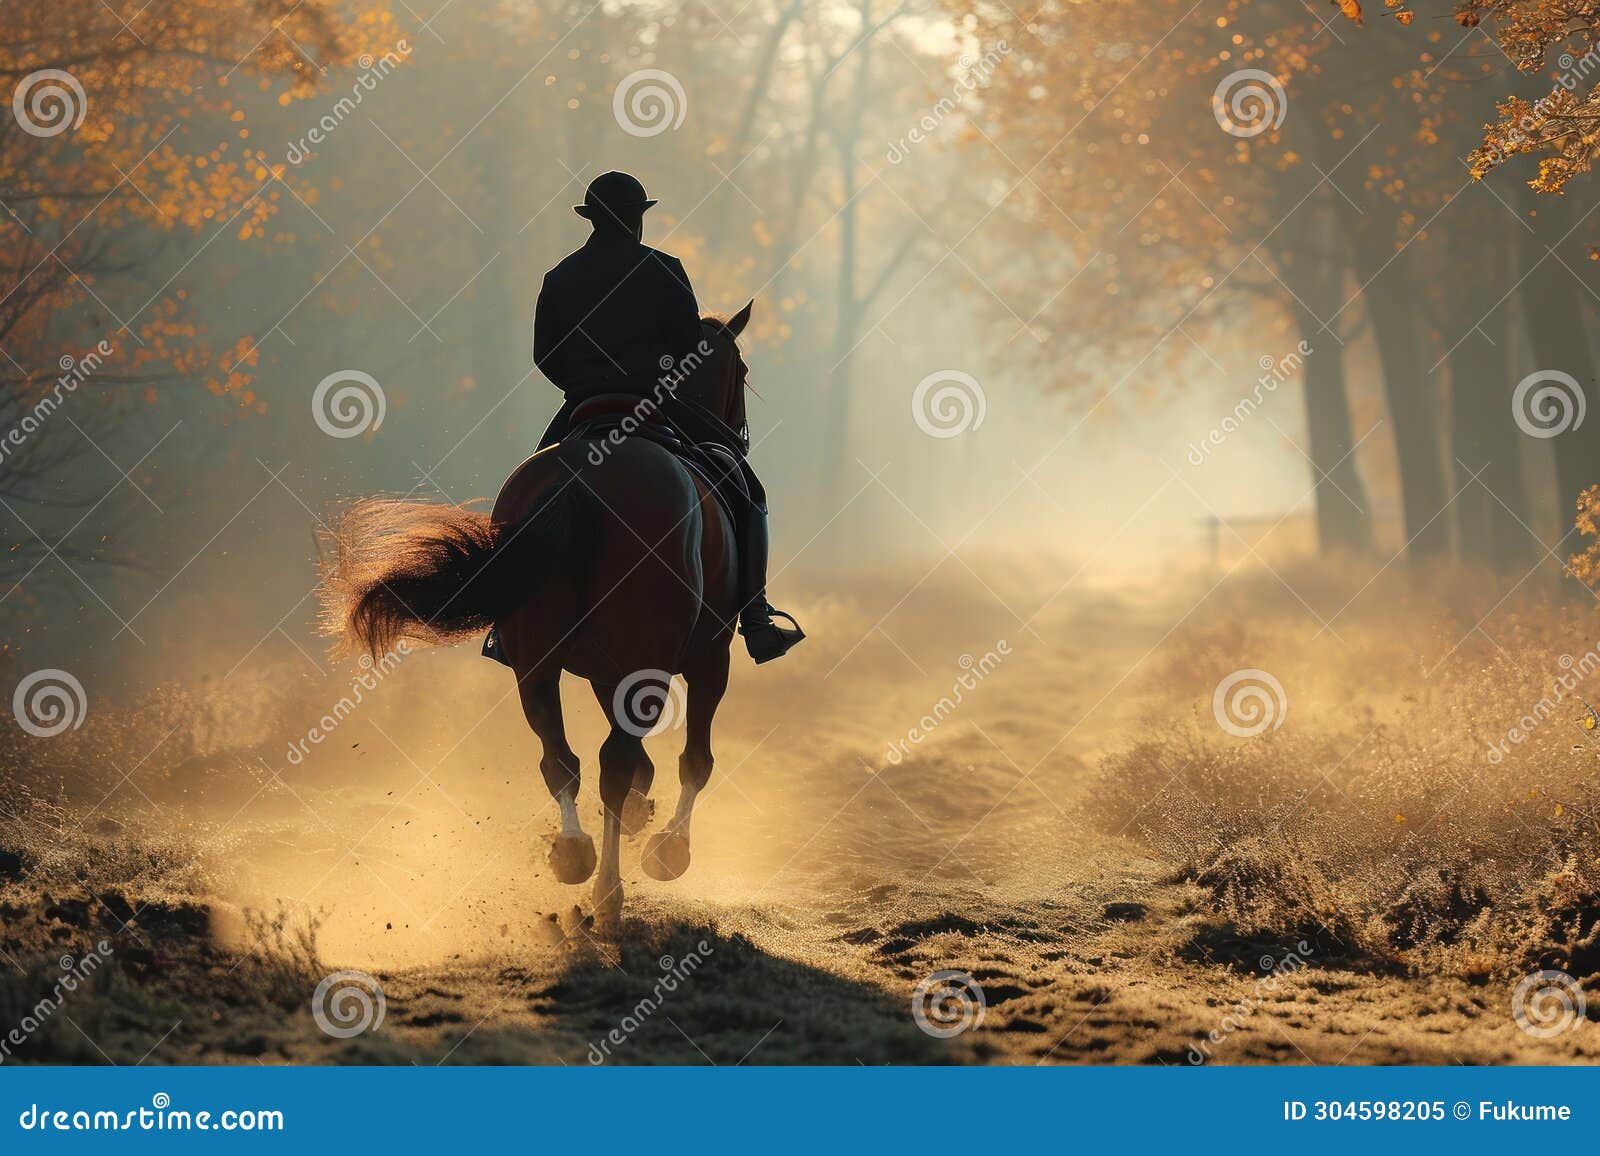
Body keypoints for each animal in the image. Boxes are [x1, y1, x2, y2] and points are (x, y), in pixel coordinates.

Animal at [317, 301, 756, 934]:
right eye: (740, 370)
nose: (738, 432)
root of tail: (583, 473)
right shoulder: (706, 659)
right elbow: (694, 760)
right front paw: (669, 849)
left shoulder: (606, 671)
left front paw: (640, 817)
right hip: (646, 661)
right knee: (611, 762)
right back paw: (608, 891)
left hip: (536, 664)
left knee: (562, 760)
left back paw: (573, 854)